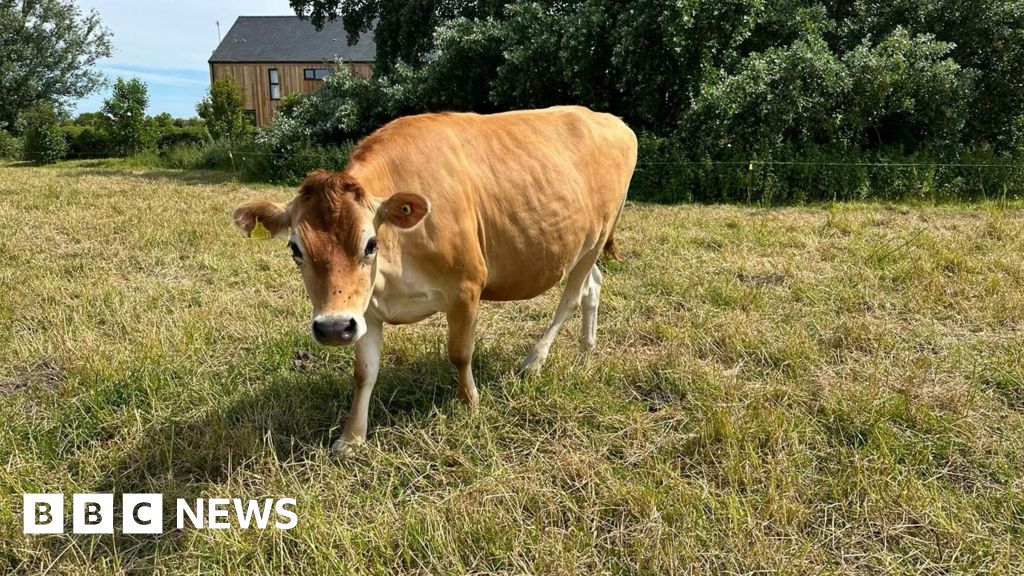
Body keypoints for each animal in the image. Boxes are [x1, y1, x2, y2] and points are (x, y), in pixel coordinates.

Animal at [232, 105, 637, 456]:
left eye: (370, 243)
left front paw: (469, 403)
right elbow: (364, 373)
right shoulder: (365, 311)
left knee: (571, 296)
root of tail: (609, 118)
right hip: (582, 247)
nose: (332, 328)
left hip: (598, 235)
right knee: (593, 286)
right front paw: (351, 438)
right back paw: (586, 352)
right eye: (295, 249)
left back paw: (534, 362)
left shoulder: (466, 287)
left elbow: (459, 352)